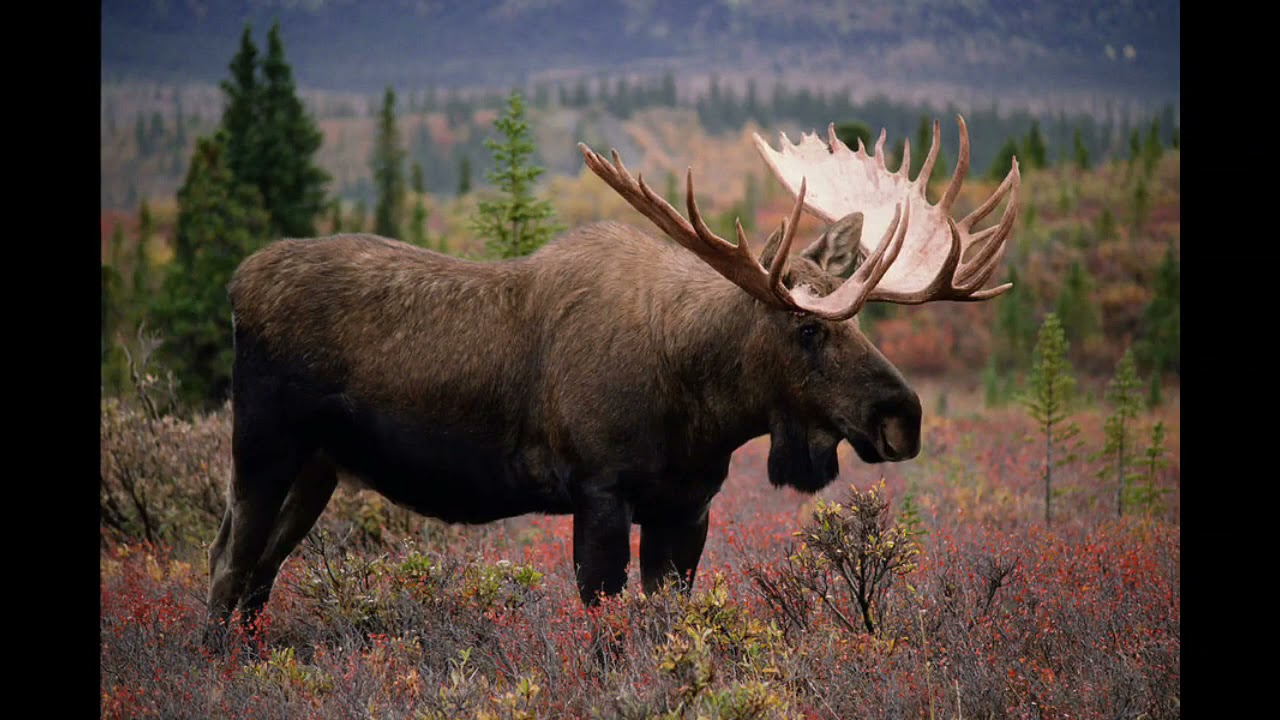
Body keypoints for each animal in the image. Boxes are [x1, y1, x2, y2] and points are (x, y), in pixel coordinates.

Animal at [203, 115, 1019, 644]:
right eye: (809, 328)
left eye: (862, 321)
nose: (902, 416)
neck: (701, 407)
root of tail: (236, 284)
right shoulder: (598, 490)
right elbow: (606, 632)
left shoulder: (686, 508)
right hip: (263, 447)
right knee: (227, 565)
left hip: (319, 467)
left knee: (258, 573)